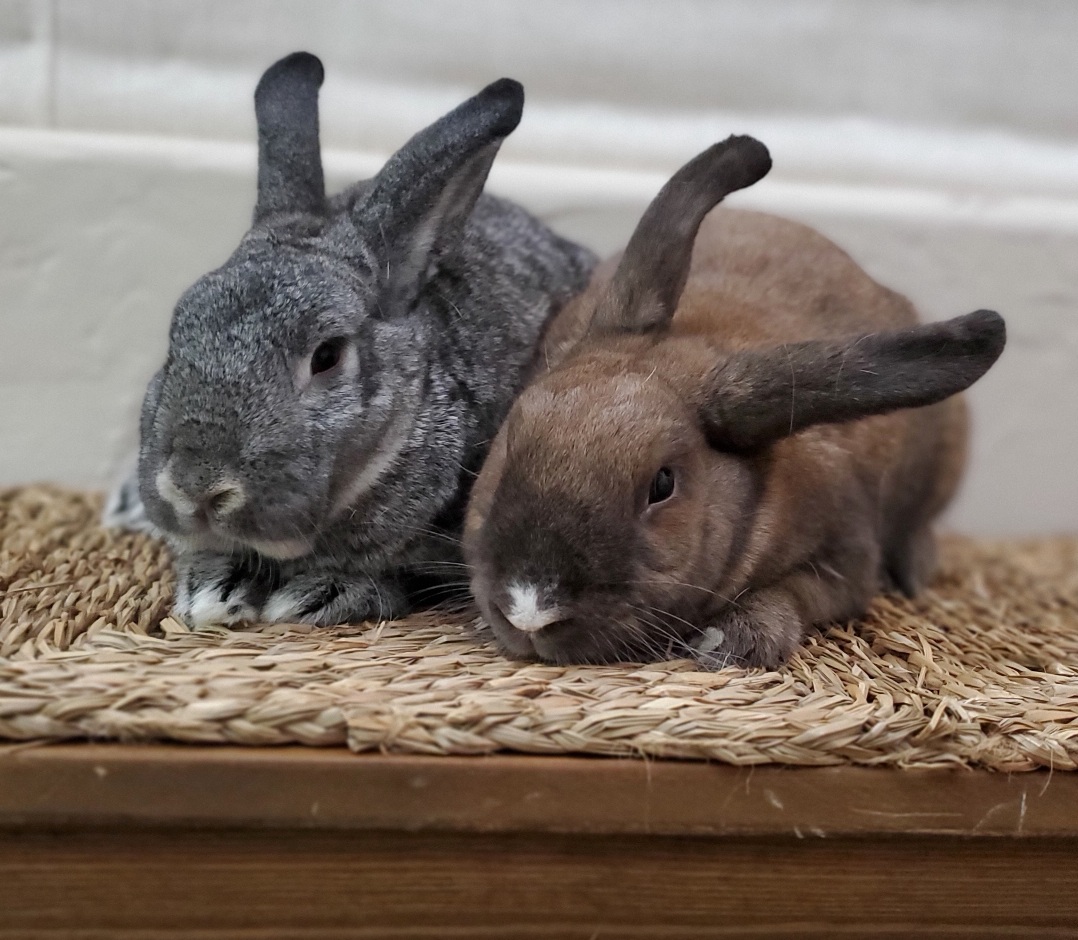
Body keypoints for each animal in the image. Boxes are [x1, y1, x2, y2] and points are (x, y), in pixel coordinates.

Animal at [463, 134, 1006, 669]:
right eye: (509, 444)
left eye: (663, 484)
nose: (530, 612)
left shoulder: (848, 561)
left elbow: (798, 593)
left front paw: (733, 642)